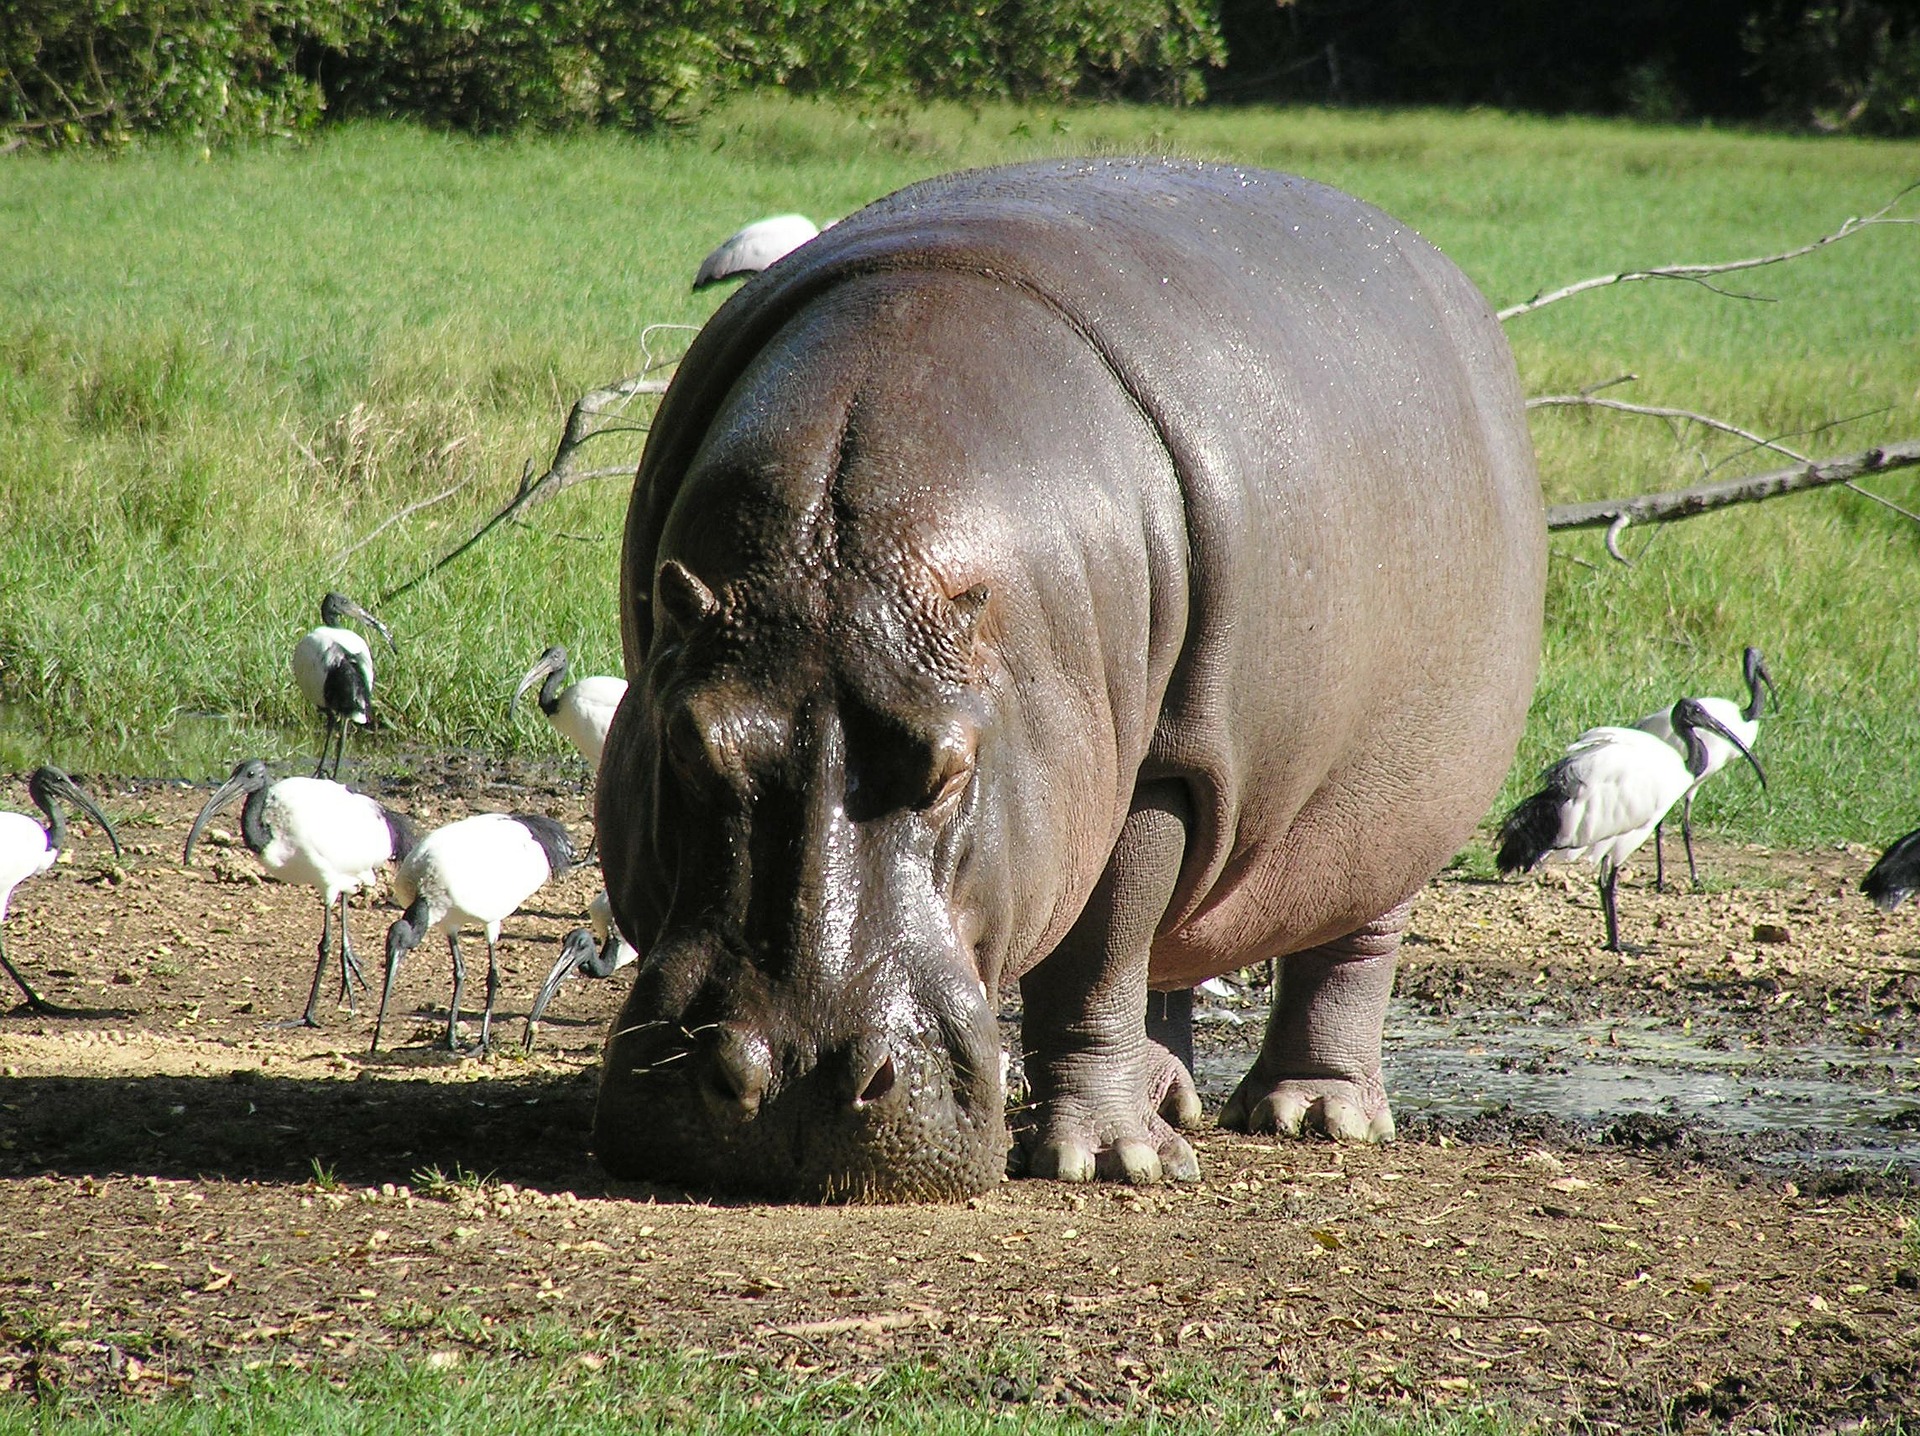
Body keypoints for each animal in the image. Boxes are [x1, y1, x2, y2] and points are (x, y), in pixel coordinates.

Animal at [593, 157, 1545, 1201]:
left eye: (952, 768)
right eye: (690, 744)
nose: (794, 1077)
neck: (844, 556)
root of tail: (1440, 269)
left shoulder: (1163, 768)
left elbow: (1099, 953)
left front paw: (1110, 1162)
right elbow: (1122, 952)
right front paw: (1135, 1144)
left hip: (1402, 805)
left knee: (1345, 947)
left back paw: (1315, 1114)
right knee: (1171, 954)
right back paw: (1173, 1102)